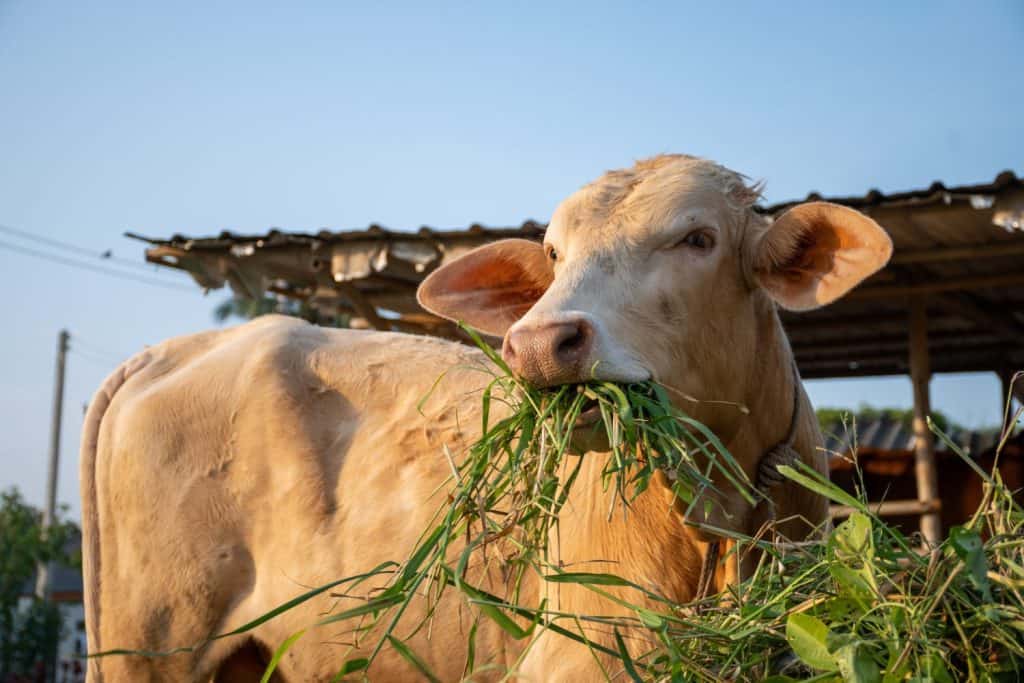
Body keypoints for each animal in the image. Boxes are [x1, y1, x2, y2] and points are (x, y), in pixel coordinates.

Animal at [80, 154, 892, 681]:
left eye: (699, 238)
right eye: (556, 254)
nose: (538, 342)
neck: (716, 524)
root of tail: (171, 351)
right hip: (149, 645)